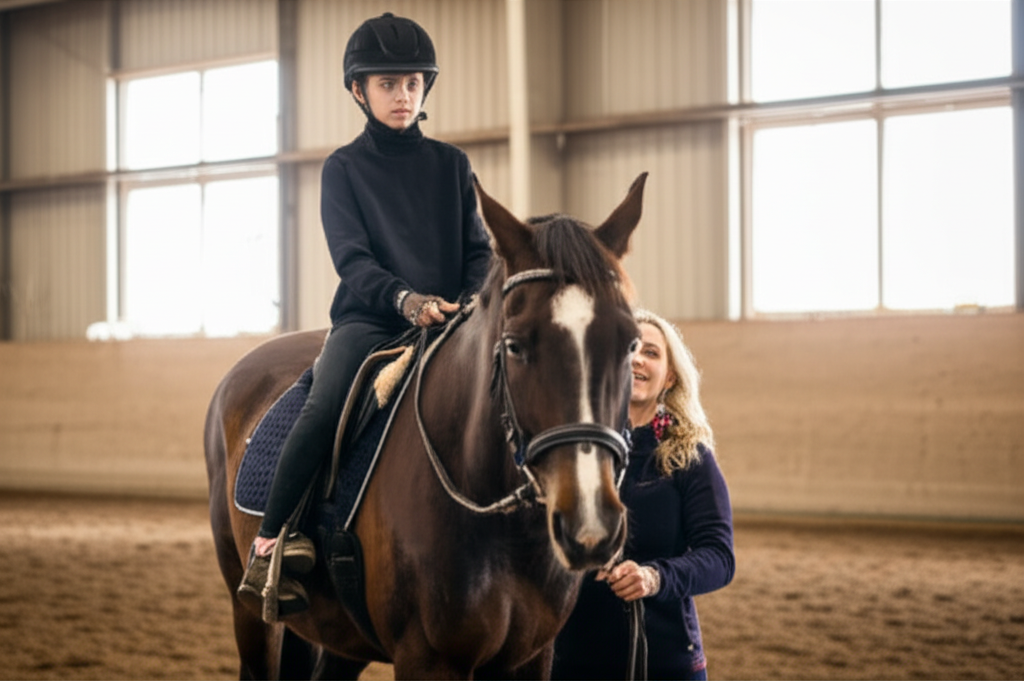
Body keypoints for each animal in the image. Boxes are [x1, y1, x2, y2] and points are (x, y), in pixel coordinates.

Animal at [204, 173, 649, 679]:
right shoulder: (429, 659)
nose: (589, 523)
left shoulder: (532, 657)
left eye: (631, 343)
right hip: (252, 616)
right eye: (514, 345)